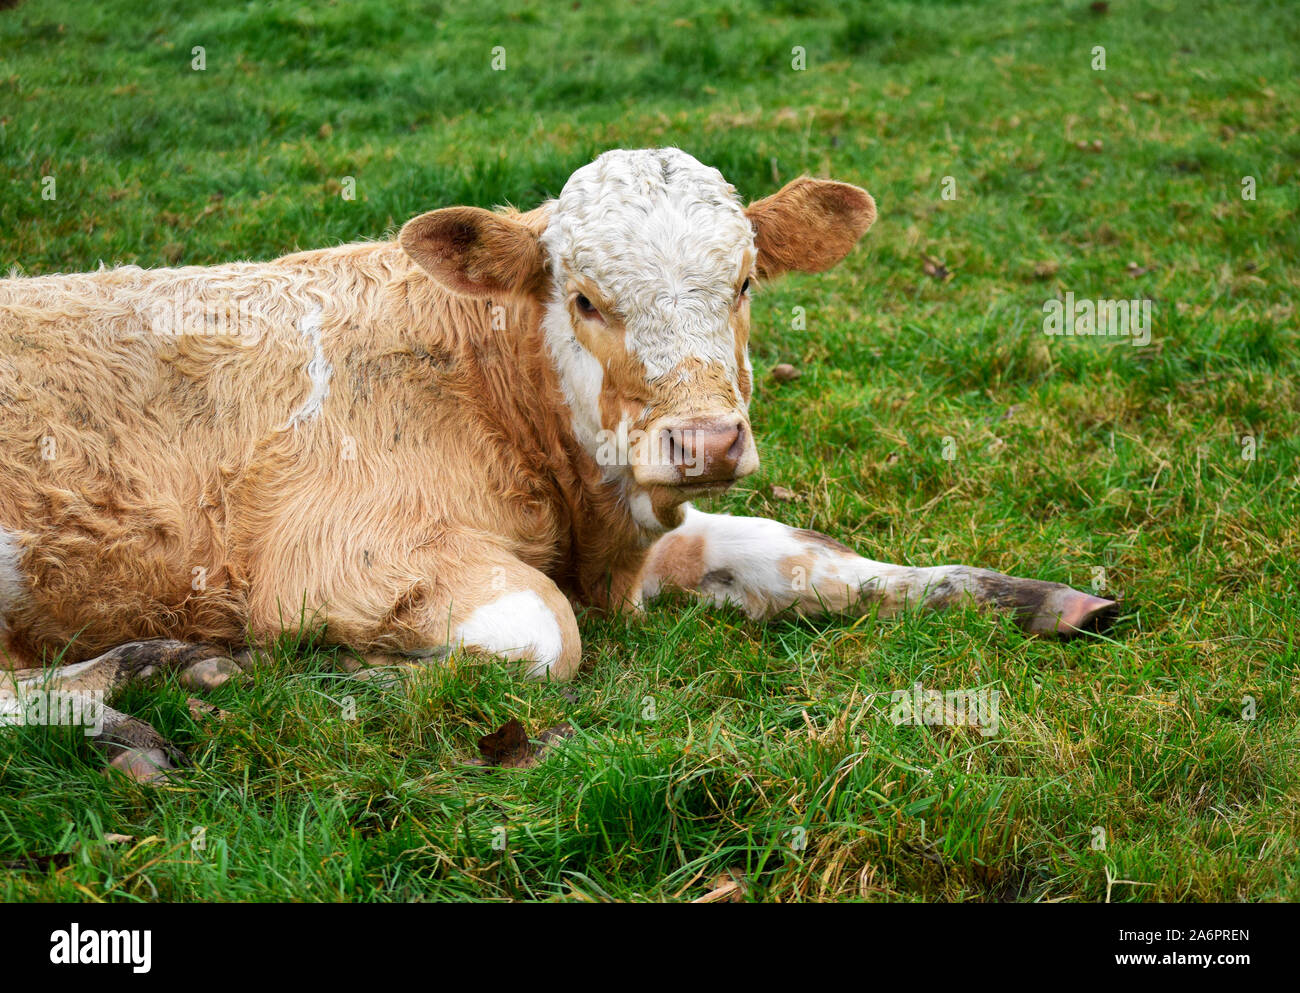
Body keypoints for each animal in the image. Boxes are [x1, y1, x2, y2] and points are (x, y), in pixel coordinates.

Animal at [0, 148, 1116, 780]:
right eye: (584, 298)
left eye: (745, 280)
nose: (705, 440)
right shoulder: (341, 557)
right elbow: (541, 635)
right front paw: (287, 676)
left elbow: (808, 555)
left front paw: (1035, 597)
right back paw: (135, 697)